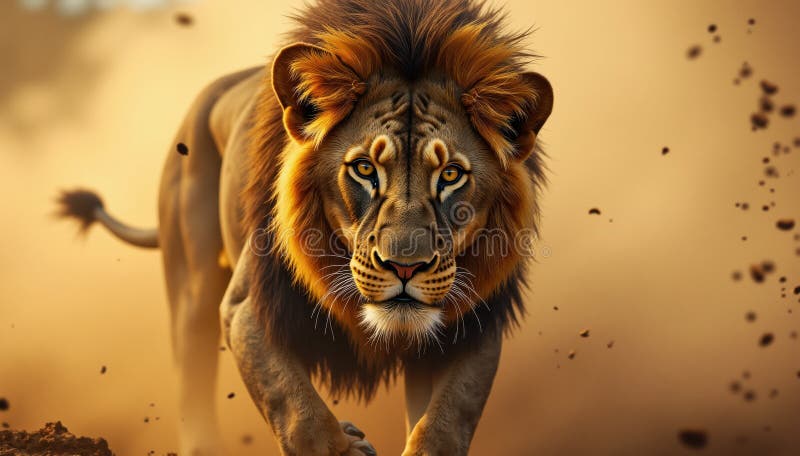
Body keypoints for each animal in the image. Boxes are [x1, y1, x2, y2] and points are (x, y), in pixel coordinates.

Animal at [56, 0, 553, 454]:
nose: (405, 268)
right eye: (364, 169)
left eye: (451, 174)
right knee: (193, 381)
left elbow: (447, 420)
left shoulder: (473, 325)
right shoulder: (250, 308)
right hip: (192, 283)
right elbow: (297, 409)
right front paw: (341, 443)